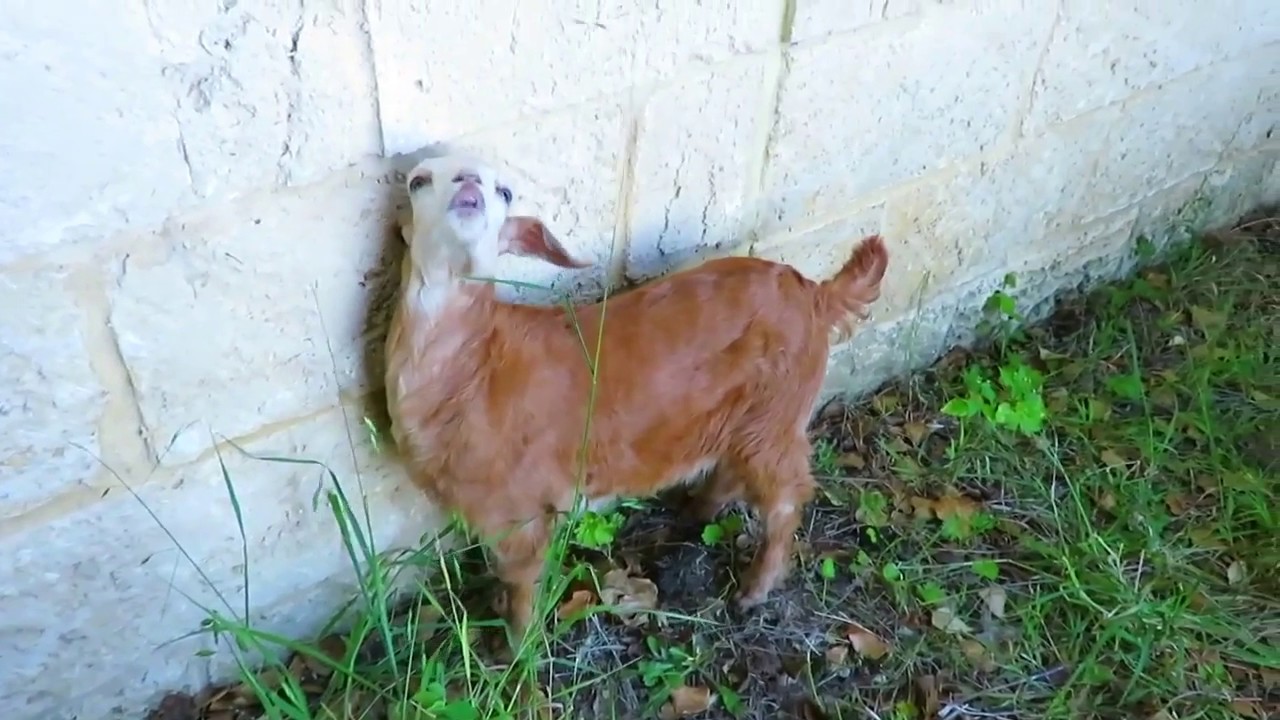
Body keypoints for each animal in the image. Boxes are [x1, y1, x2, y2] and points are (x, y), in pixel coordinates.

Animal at [384, 152, 890, 639]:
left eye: (504, 191)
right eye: (419, 181)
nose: (468, 184)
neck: (477, 362)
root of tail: (816, 294)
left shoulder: (518, 506)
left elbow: (522, 578)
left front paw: (517, 646)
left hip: (777, 411)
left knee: (785, 496)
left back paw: (754, 589)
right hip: (749, 416)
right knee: (735, 469)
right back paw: (694, 512)